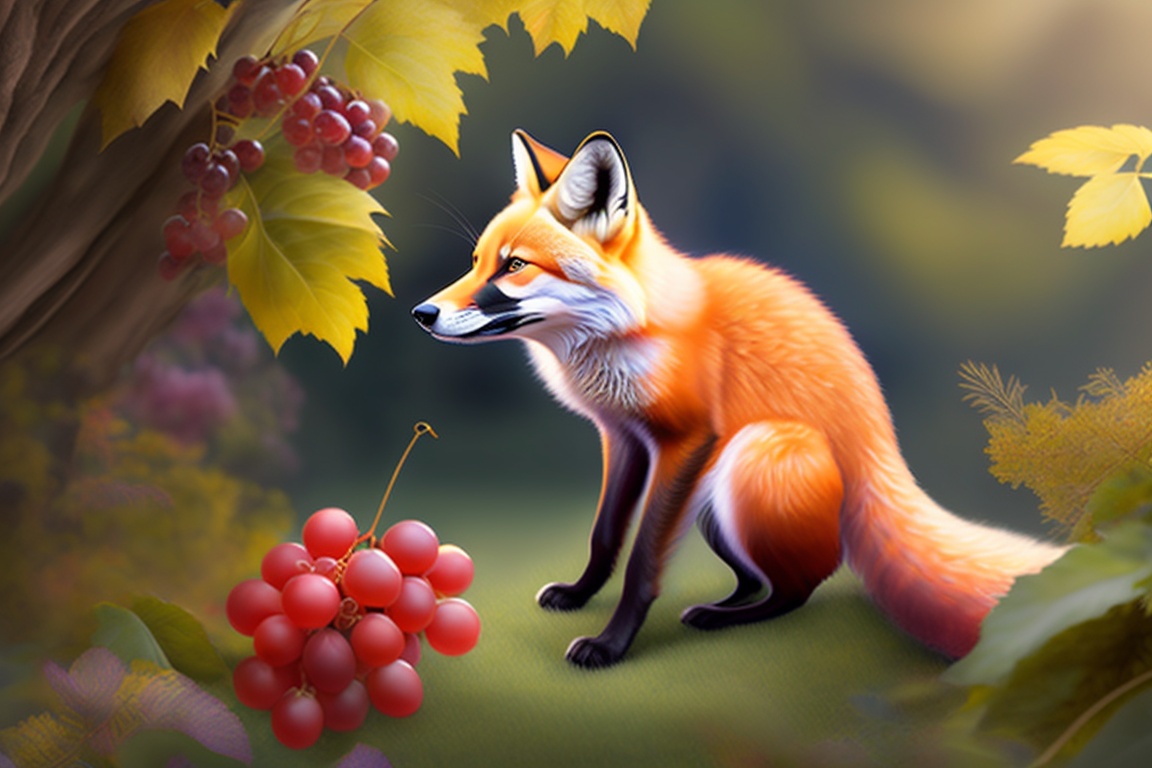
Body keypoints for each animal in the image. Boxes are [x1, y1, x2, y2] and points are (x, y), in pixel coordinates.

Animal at [411, 129, 1068, 669]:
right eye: (475, 262)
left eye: (515, 266)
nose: (422, 313)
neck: (632, 330)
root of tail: (878, 447)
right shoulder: (623, 437)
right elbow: (605, 535)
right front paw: (577, 595)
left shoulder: (686, 440)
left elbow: (644, 562)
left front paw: (610, 646)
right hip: (713, 500)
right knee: (767, 579)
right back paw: (724, 604)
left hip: (747, 452)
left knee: (801, 587)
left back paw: (722, 617)